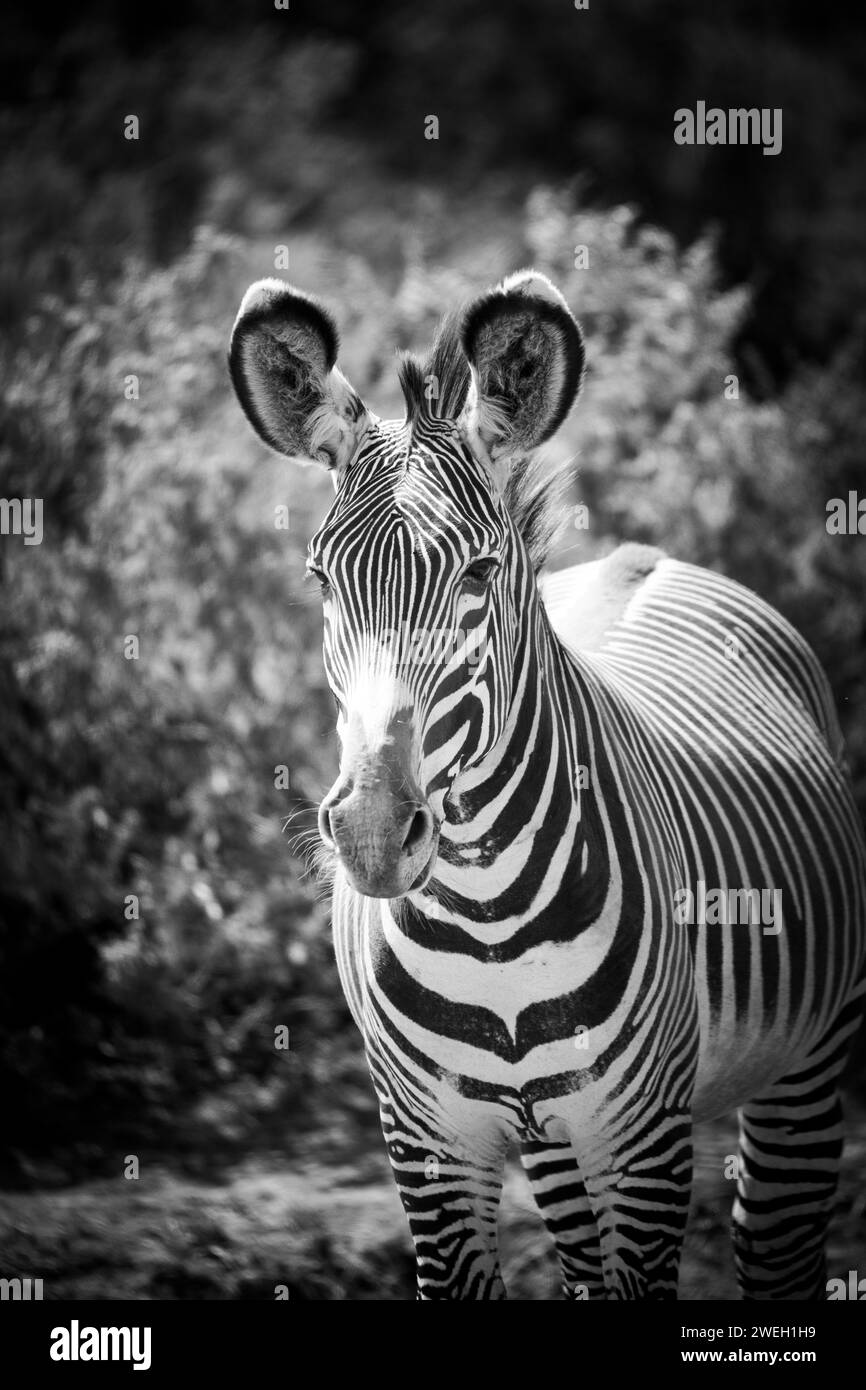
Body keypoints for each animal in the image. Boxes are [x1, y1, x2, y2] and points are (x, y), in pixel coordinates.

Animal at [229, 269, 866, 1300]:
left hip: (807, 1061)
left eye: (480, 573)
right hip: (557, 1146)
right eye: (321, 580)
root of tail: (647, 558)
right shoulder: (428, 1151)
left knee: (775, 1245)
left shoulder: (641, 1144)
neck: (489, 925)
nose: (372, 833)